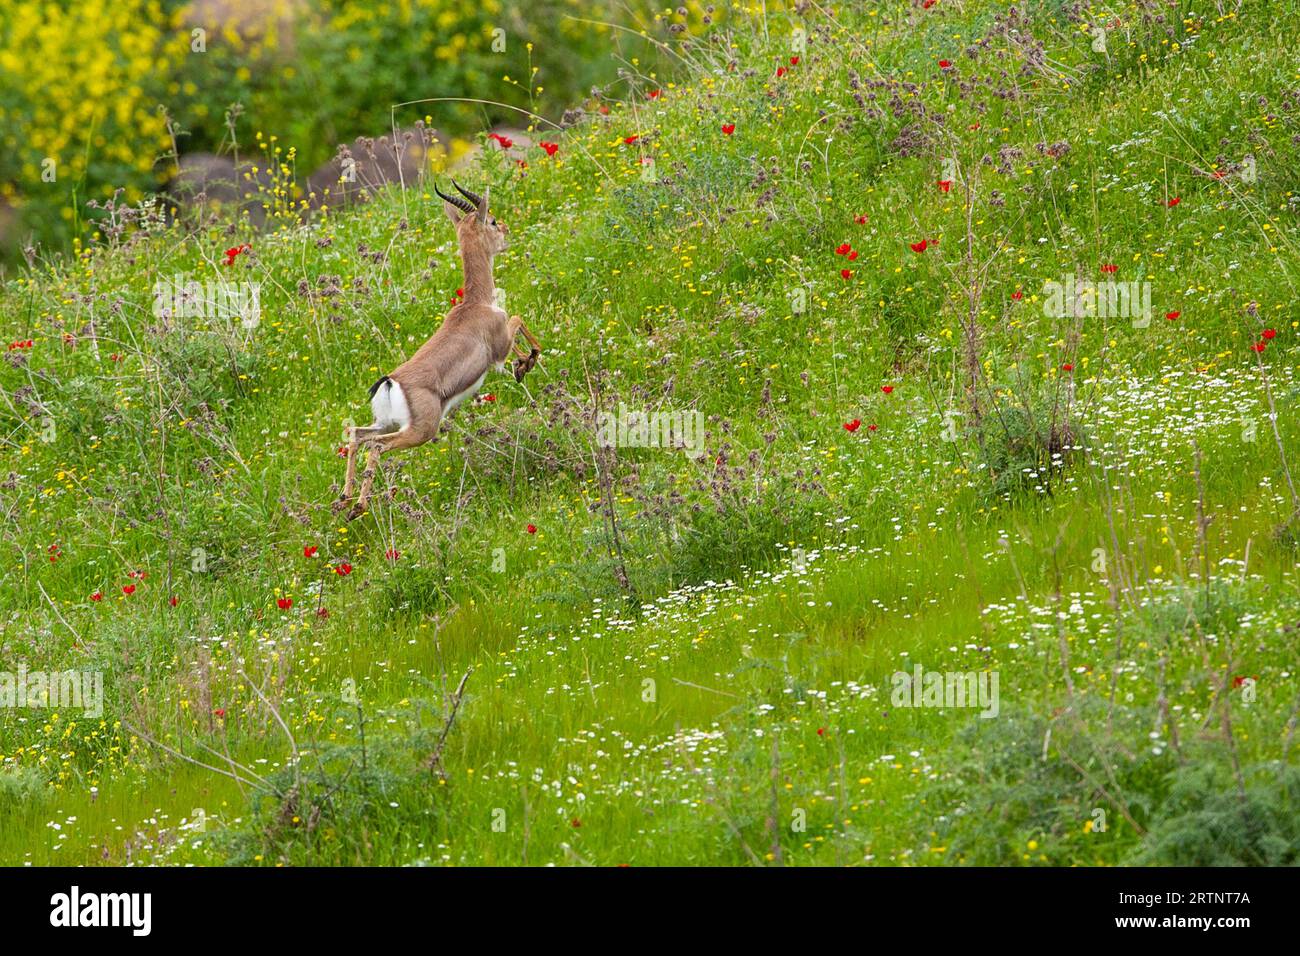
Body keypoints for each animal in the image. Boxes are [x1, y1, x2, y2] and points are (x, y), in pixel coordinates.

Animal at [334, 180, 541, 520]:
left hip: (386, 423)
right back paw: (359, 507)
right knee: (376, 446)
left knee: (356, 436)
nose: (506, 231)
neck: (476, 303)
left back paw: (343, 499)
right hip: (419, 431)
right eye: (492, 220)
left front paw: (522, 366)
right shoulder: (499, 345)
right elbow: (518, 320)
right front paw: (526, 363)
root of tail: (390, 382)